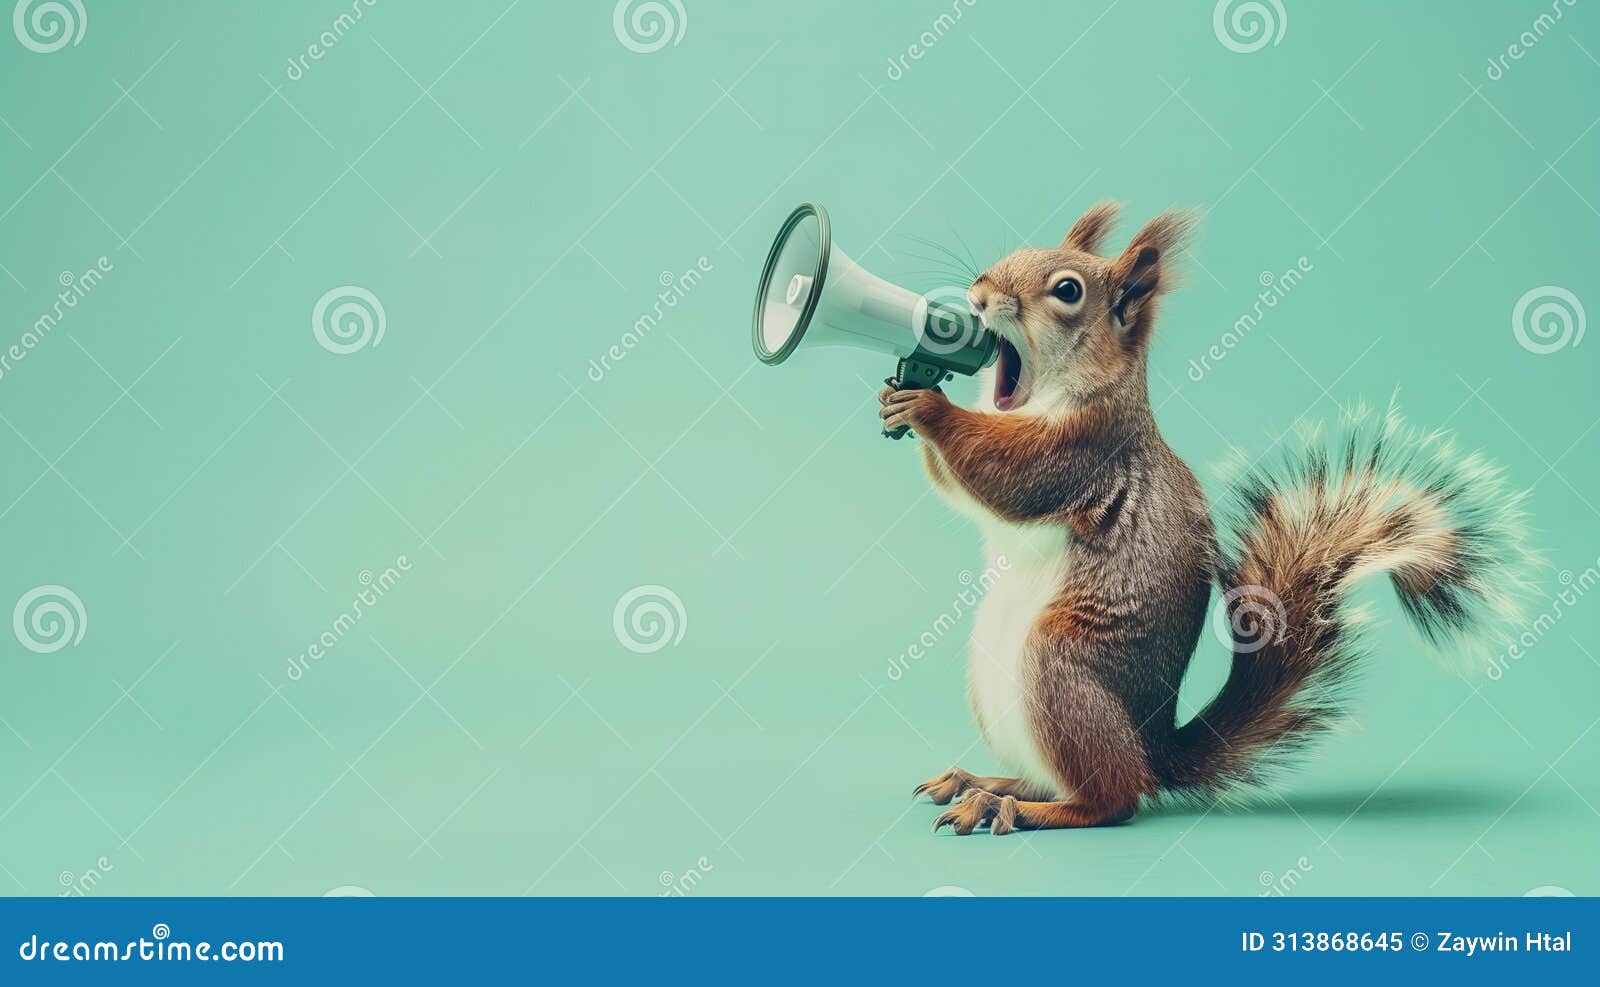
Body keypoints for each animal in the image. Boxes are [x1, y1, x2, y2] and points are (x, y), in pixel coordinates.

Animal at [878, 202, 1533, 835]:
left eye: (1067, 290)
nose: (979, 294)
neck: (1041, 398)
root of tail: (1151, 749)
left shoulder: (1089, 451)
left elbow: (1010, 476)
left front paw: (932, 407)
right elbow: (959, 487)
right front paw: (896, 400)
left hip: (1061, 671)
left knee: (1112, 800)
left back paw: (1022, 809)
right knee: (1056, 780)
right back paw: (984, 784)